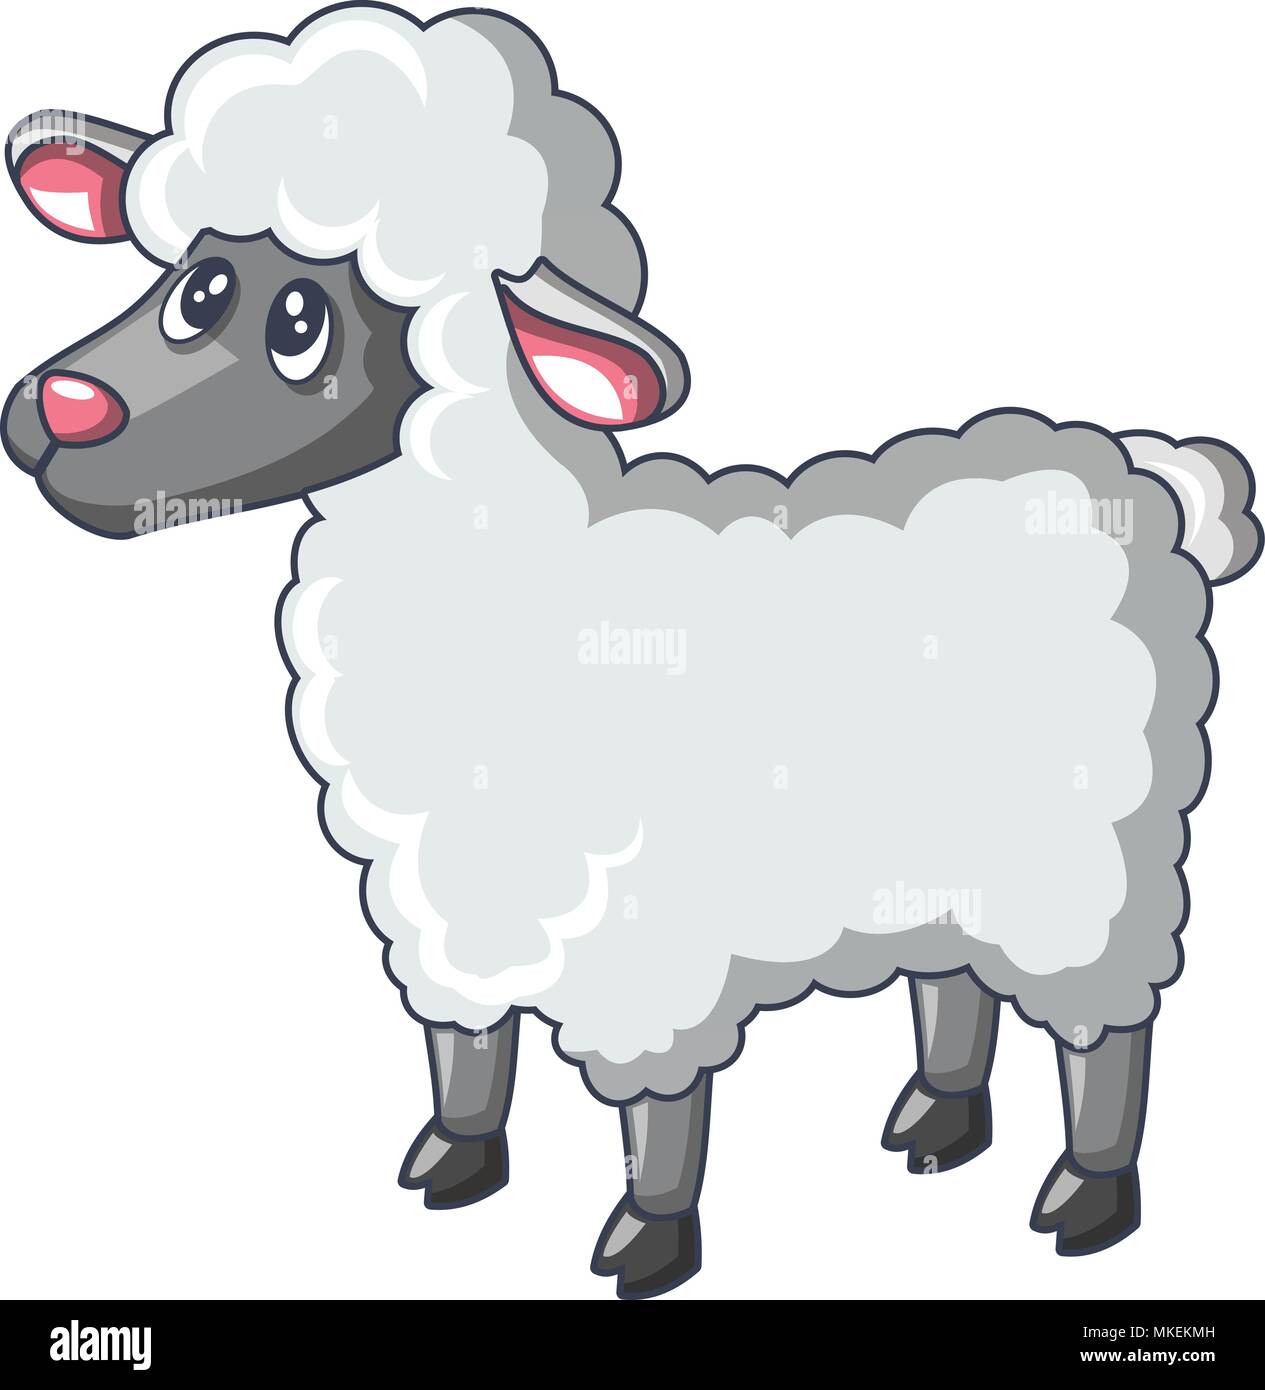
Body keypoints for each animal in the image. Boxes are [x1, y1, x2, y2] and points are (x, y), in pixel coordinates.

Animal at [2, 3, 1260, 1301]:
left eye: (296, 321)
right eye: (189, 281)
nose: (52, 412)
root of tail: (1139, 475)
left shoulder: (637, 934)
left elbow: (653, 1107)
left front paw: (647, 1238)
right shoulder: (450, 891)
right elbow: (463, 1046)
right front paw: (454, 1160)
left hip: (1088, 867)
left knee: (1106, 1028)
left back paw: (1085, 1195)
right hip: (951, 848)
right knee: (952, 981)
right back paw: (935, 1120)